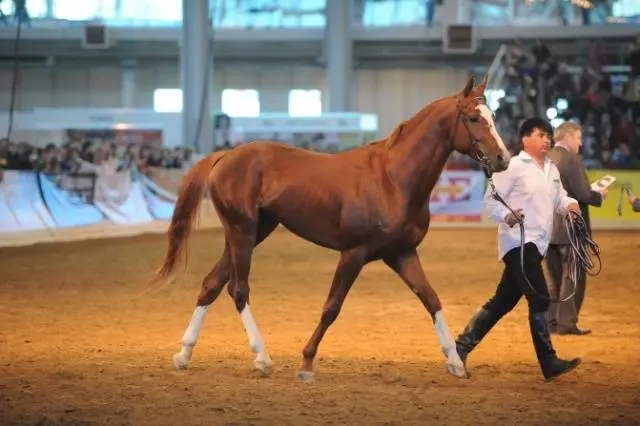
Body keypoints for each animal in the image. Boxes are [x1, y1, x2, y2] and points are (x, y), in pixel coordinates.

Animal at [154, 75, 510, 382]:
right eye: (473, 118)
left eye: (493, 115)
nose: (503, 159)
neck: (393, 179)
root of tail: (225, 156)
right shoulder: (353, 254)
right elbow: (331, 308)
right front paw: (306, 363)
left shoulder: (402, 254)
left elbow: (431, 299)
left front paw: (455, 362)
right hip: (242, 231)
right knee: (237, 290)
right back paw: (262, 358)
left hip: (253, 232)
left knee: (211, 284)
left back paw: (184, 355)